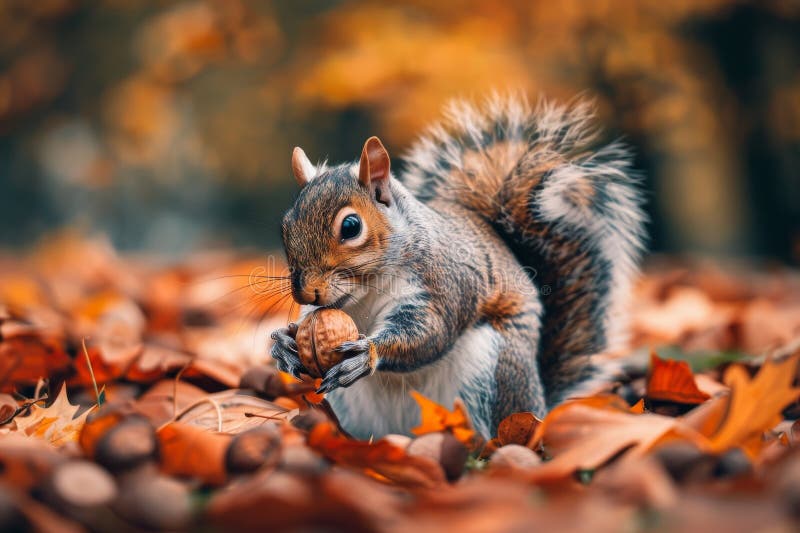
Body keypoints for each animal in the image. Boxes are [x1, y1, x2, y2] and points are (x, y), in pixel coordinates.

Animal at [270, 95, 646, 439]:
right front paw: (283, 342)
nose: (306, 291)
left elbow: (431, 331)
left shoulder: (446, 281)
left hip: (493, 372)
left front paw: (369, 353)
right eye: (285, 225)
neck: (366, 293)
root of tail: (539, 405)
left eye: (350, 227)